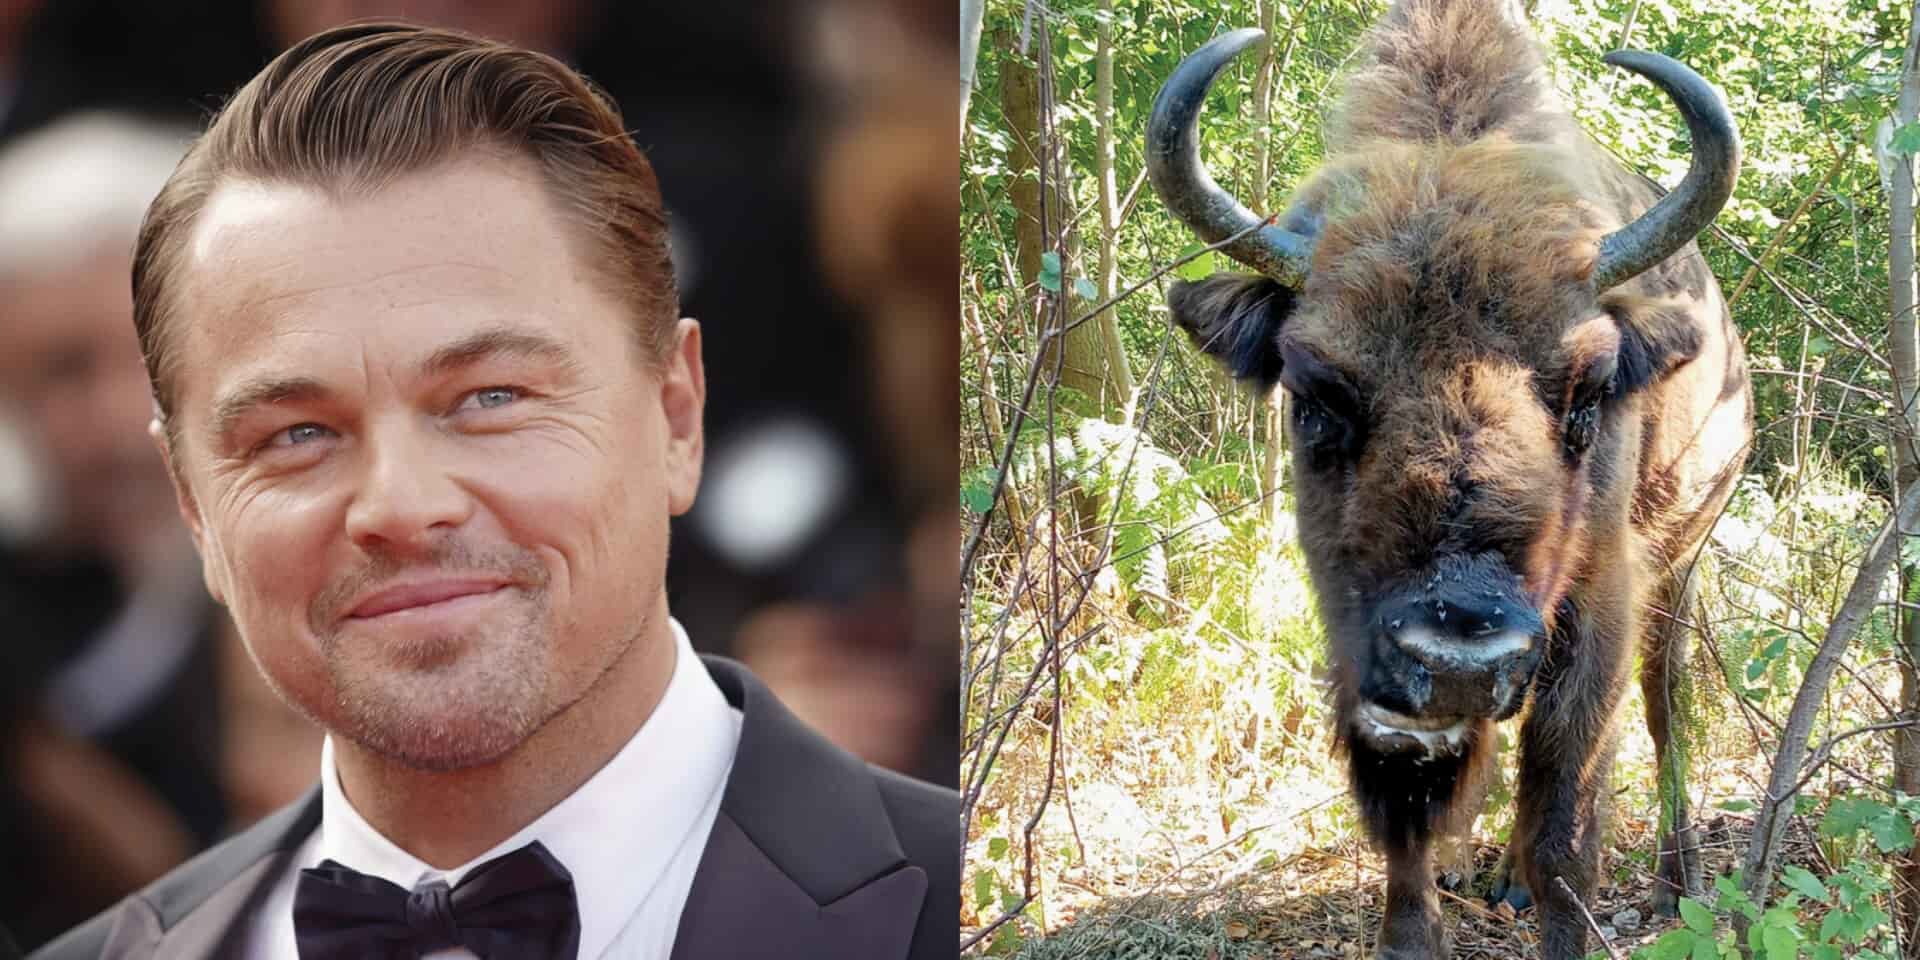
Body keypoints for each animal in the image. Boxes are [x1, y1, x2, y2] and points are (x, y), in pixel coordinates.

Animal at [1146, 0, 1751, 956]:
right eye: (1314, 397)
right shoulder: (1358, 634)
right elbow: (1407, 825)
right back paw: (1486, 870)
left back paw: (1671, 882)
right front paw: (1419, 921)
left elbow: (1566, 820)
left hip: (1682, 569)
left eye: (1591, 393)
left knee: (1663, 707)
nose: (1460, 649)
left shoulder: (1600, 603)